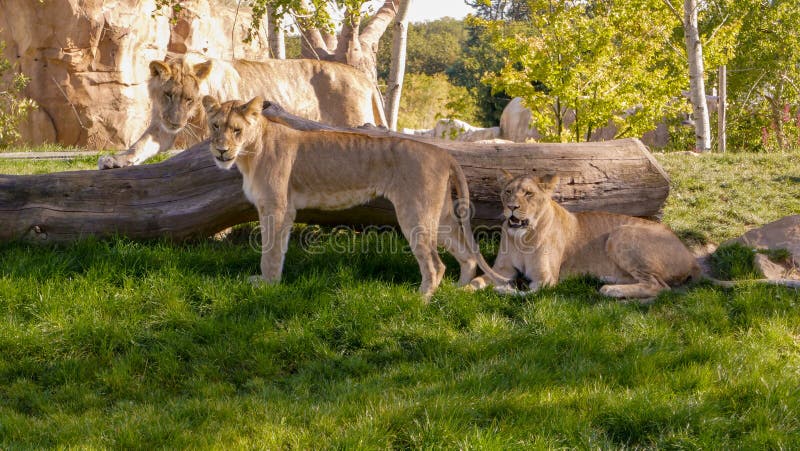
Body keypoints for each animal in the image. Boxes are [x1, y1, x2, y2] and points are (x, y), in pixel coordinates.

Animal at [98, 56, 387, 169]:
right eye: (168, 94)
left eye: (189, 98)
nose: (175, 121)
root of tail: (364, 77)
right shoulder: (163, 128)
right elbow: (140, 145)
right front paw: (115, 160)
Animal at [201, 94, 510, 299]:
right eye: (215, 126)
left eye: (237, 130)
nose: (221, 150)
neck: (248, 155)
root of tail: (443, 152)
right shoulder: (279, 210)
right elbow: (276, 247)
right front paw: (271, 282)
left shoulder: (276, 207)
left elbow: (271, 250)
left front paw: (267, 285)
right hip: (442, 214)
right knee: (467, 256)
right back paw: (459, 292)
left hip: (415, 213)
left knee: (436, 265)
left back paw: (418, 302)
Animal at [469, 172, 700, 299]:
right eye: (508, 192)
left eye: (528, 193)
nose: (511, 207)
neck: (522, 238)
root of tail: (691, 257)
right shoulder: (502, 270)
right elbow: (476, 281)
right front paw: (462, 291)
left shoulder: (546, 280)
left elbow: (525, 293)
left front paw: (504, 290)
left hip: (621, 233)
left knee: (660, 286)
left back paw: (610, 290)